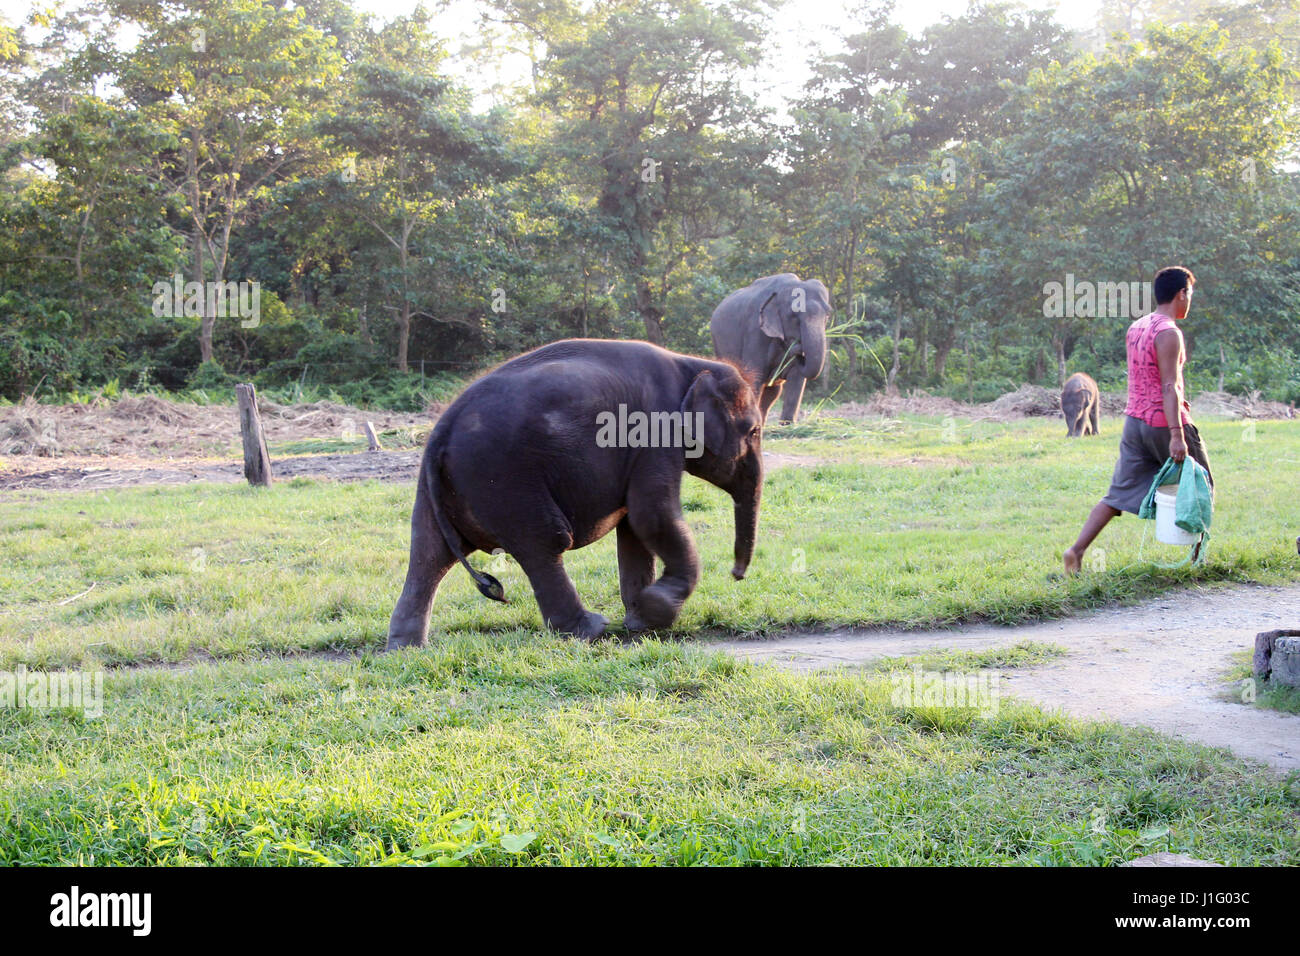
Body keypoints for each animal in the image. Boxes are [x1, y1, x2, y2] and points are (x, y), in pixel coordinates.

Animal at [386, 339, 764, 648]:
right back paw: (590, 630)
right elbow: (651, 515)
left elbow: (634, 529)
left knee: (430, 554)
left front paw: (641, 622)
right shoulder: (654, 435)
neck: (694, 365)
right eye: (755, 431)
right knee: (543, 543)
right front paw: (655, 613)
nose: (737, 575)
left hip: (448, 486)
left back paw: (406, 649)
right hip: (504, 480)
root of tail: (441, 430)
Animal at [709, 273, 831, 424]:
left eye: (827, 315)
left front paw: (788, 424)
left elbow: (796, 379)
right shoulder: (755, 331)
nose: (797, 345)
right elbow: (755, 376)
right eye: (794, 315)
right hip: (718, 343)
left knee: (773, 392)